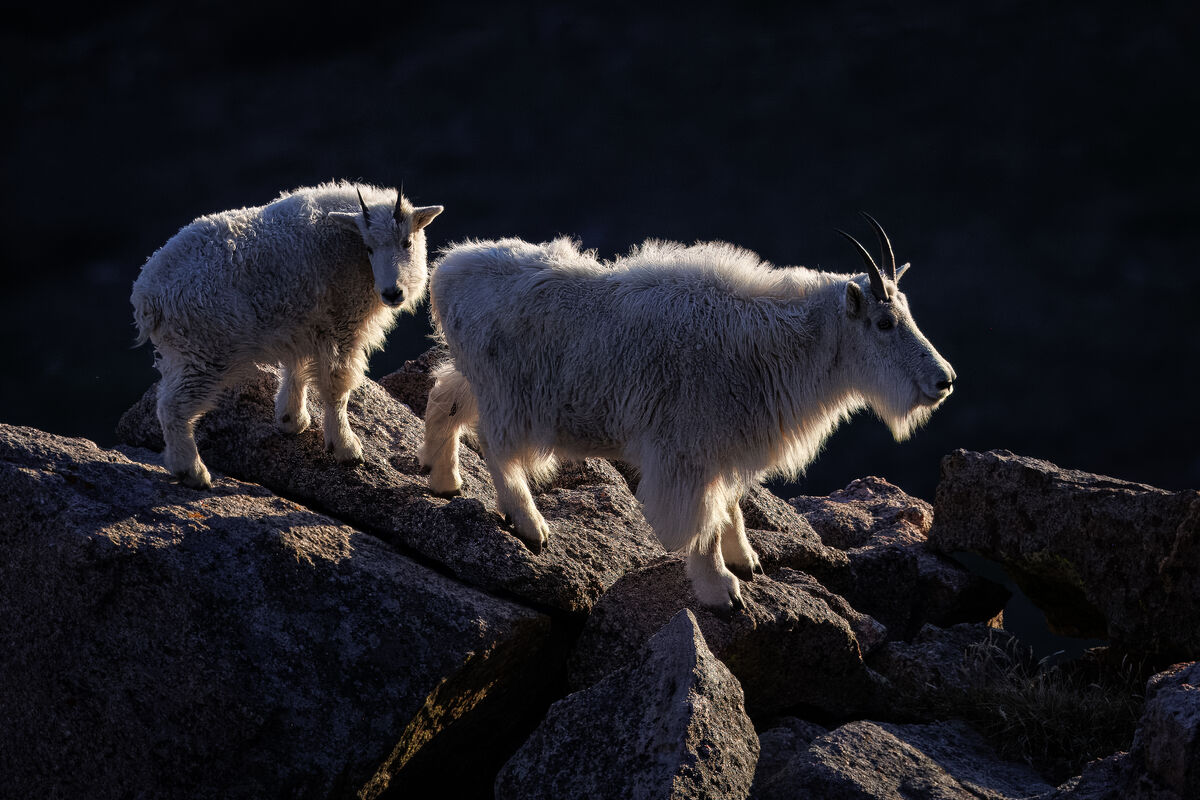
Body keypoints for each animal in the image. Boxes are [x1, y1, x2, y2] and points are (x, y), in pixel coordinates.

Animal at [131, 181, 443, 489]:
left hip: (183, 351)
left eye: (406, 242)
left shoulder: (303, 321)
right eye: (369, 247)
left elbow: (297, 367)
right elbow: (336, 386)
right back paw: (192, 472)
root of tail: (147, 296)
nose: (392, 293)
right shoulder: (342, 325)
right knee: (173, 408)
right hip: (203, 352)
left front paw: (291, 420)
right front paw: (346, 447)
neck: (347, 242)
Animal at [419, 216, 954, 611]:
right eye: (884, 323)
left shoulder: (724, 444)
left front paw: (747, 561)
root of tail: (444, 271)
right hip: (511, 395)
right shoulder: (687, 450)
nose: (944, 381)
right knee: (497, 447)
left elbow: (729, 504)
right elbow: (702, 521)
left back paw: (444, 479)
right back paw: (531, 525)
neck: (779, 345)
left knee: (445, 396)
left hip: (481, 381)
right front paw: (722, 591)